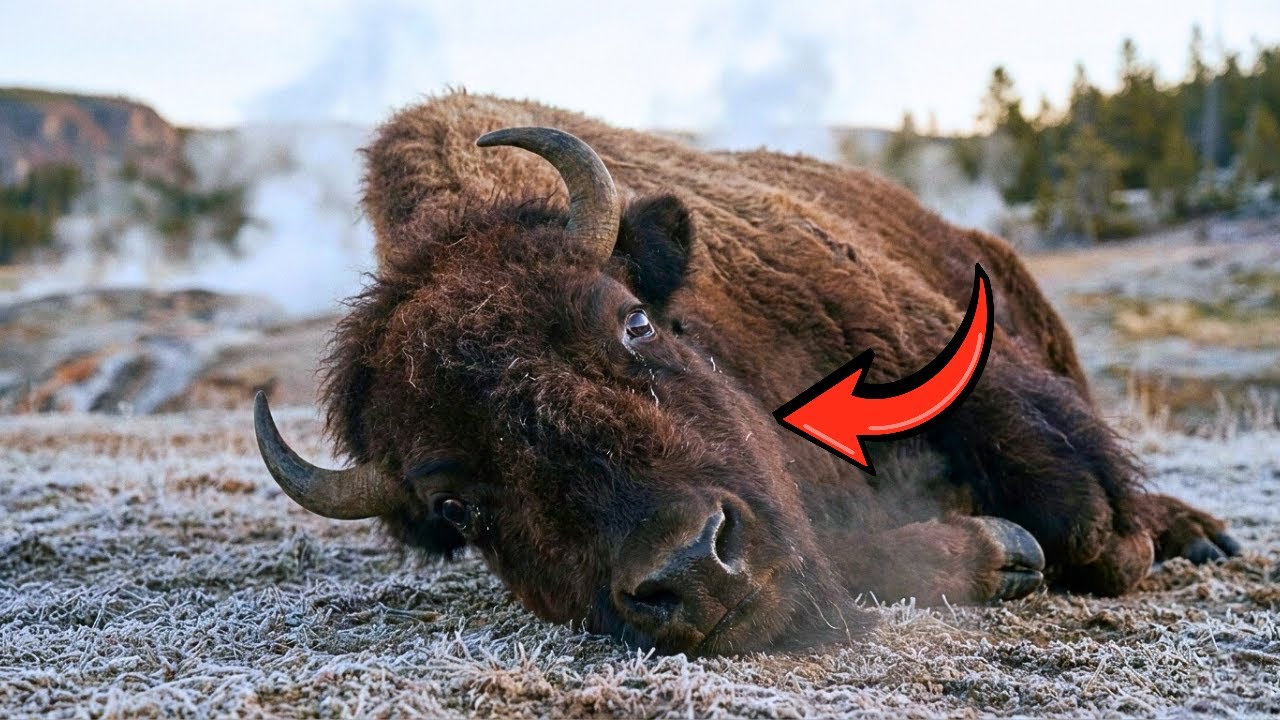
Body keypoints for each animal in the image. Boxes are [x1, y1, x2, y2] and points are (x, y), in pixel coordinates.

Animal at [253, 93, 1240, 655]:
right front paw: (998, 553)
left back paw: (1199, 535)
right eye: (456, 505)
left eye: (634, 322)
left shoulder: (927, 342)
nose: (694, 568)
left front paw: (1122, 541)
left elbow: (1075, 507)